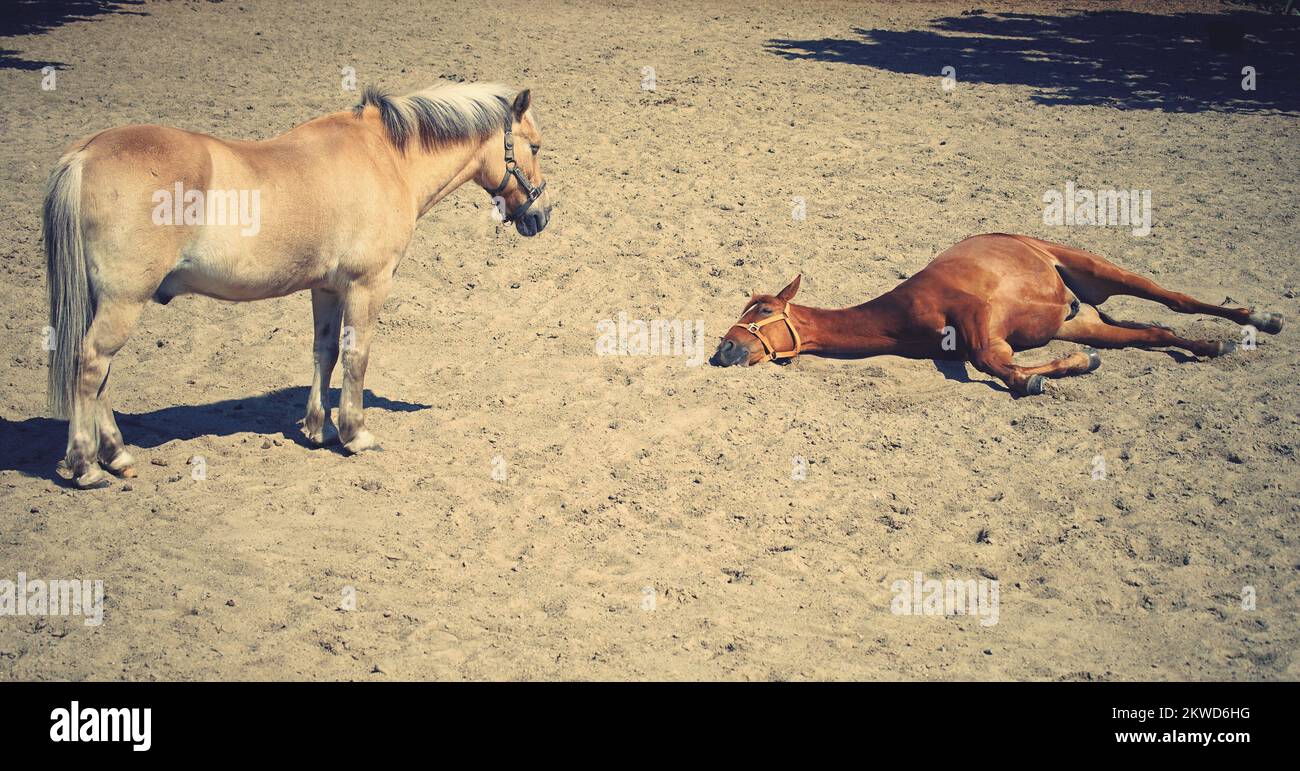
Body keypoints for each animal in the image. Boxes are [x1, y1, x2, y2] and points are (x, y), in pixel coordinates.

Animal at [43, 81, 552, 488]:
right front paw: (355, 433)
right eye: (535, 146)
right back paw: (86, 466)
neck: (386, 158)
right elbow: (356, 356)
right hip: (124, 302)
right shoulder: (368, 285)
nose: (541, 215)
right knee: (89, 367)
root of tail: (86, 153)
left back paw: (117, 456)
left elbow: (324, 353)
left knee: (101, 375)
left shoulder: (326, 288)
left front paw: (318, 429)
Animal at [711, 233, 1283, 394]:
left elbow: (997, 366)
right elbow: (1001, 365)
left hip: (1096, 269)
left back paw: (1260, 321)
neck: (904, 310)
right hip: (1088, 321)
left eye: (765, 309)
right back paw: (1211, 345)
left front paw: (1048, 376)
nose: (724, 349)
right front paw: (1076, 365)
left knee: (1172, 300)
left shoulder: (980, 323)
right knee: (1155, 330)